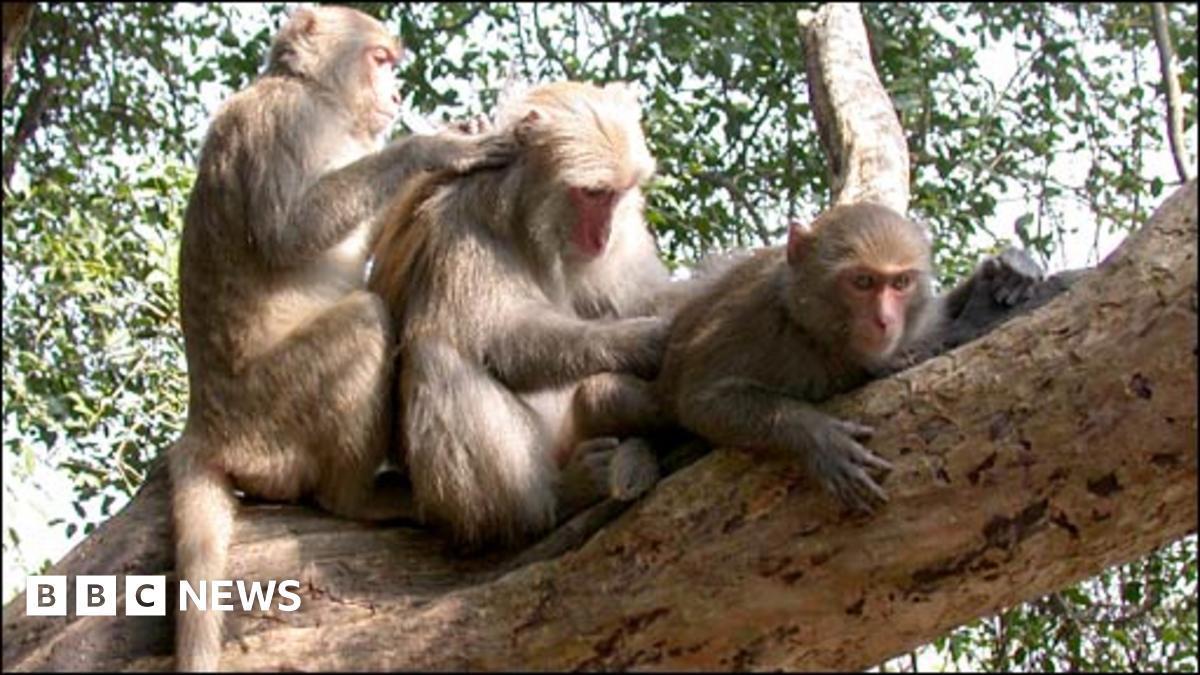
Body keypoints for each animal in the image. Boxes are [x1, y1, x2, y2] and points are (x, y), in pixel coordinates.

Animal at [169, 6, 516, 671]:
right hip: (271, 416)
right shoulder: (287, 123)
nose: (398, 94)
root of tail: (205, 428)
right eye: (380, 61)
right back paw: (354, 500)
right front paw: (436, 145)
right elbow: (288, 231)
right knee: (363, 322)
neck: (316, 93)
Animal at [367, 80, 675, 549]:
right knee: (436, 354)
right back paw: (550, 503)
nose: (603, 236)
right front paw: (644, 340)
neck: (522, 217)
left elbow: (643, 295)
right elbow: (496, 335)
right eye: (593, 193)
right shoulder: (461, 219)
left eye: (619, 194)